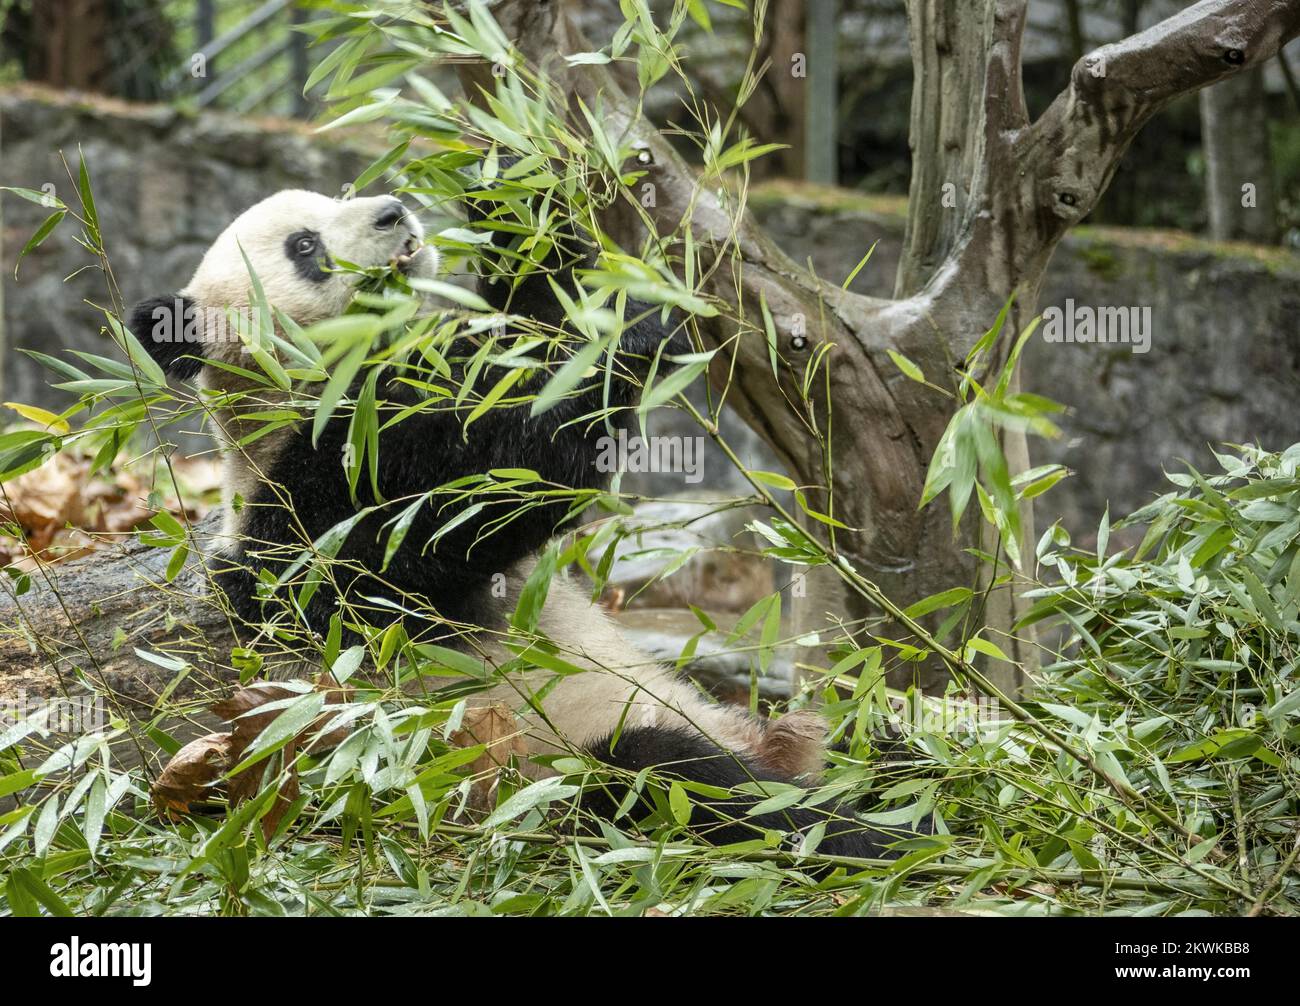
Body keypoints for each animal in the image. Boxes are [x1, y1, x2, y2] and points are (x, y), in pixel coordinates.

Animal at [129, 186, 910, 860]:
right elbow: (499, 488)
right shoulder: (317, 515)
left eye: (338, 198)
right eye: (305, 246)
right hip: (560, 769)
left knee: (874, 729)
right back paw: (872, 834)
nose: (392, 211)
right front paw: (627, 328)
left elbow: (510, 331)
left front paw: (516, 195)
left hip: (771, 717)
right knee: (681, 777)